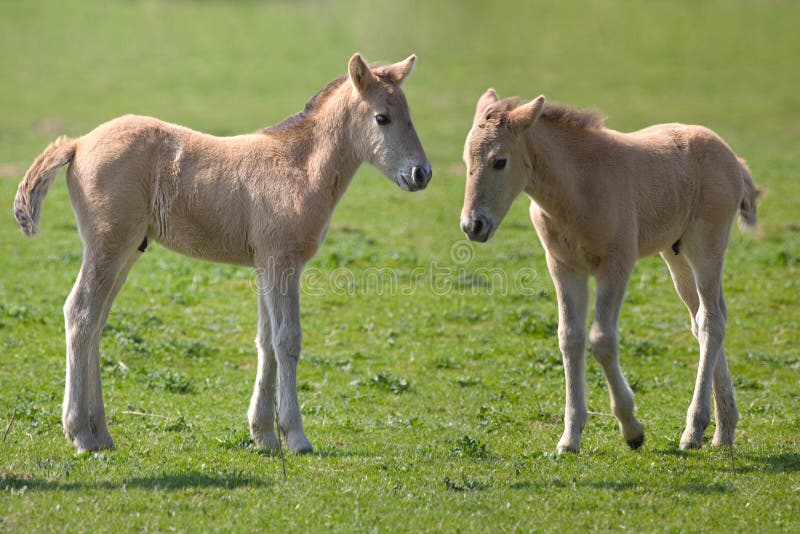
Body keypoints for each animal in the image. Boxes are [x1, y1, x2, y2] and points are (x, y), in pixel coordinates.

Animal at [14, 53, 432, 455]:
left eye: (410, 112)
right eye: (382, 117)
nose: (421, 173)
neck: (299, 167)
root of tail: (79, 142)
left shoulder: (265, 266)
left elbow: (266, 341)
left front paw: (263, 435)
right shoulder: (283, 263)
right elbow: (288, 341)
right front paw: (296, 436)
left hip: (126, 252)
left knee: (96, 321)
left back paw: (101, 433)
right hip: (107, 246)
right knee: (81, 313)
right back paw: (81, 434)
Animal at [460, 88, 759, 453]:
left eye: (500, 161)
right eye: (466, 161)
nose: (472, 225)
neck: (578, 187)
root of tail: (733, 158)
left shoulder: (615, 265)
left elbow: (601, 339)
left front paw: (632, 429)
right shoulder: (564, 267)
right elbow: (570, 338)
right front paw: (570, 437)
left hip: (705, 246)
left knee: (712, 320)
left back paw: (693, 430)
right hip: (674, 254)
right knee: (703, 318)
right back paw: (723, 430)